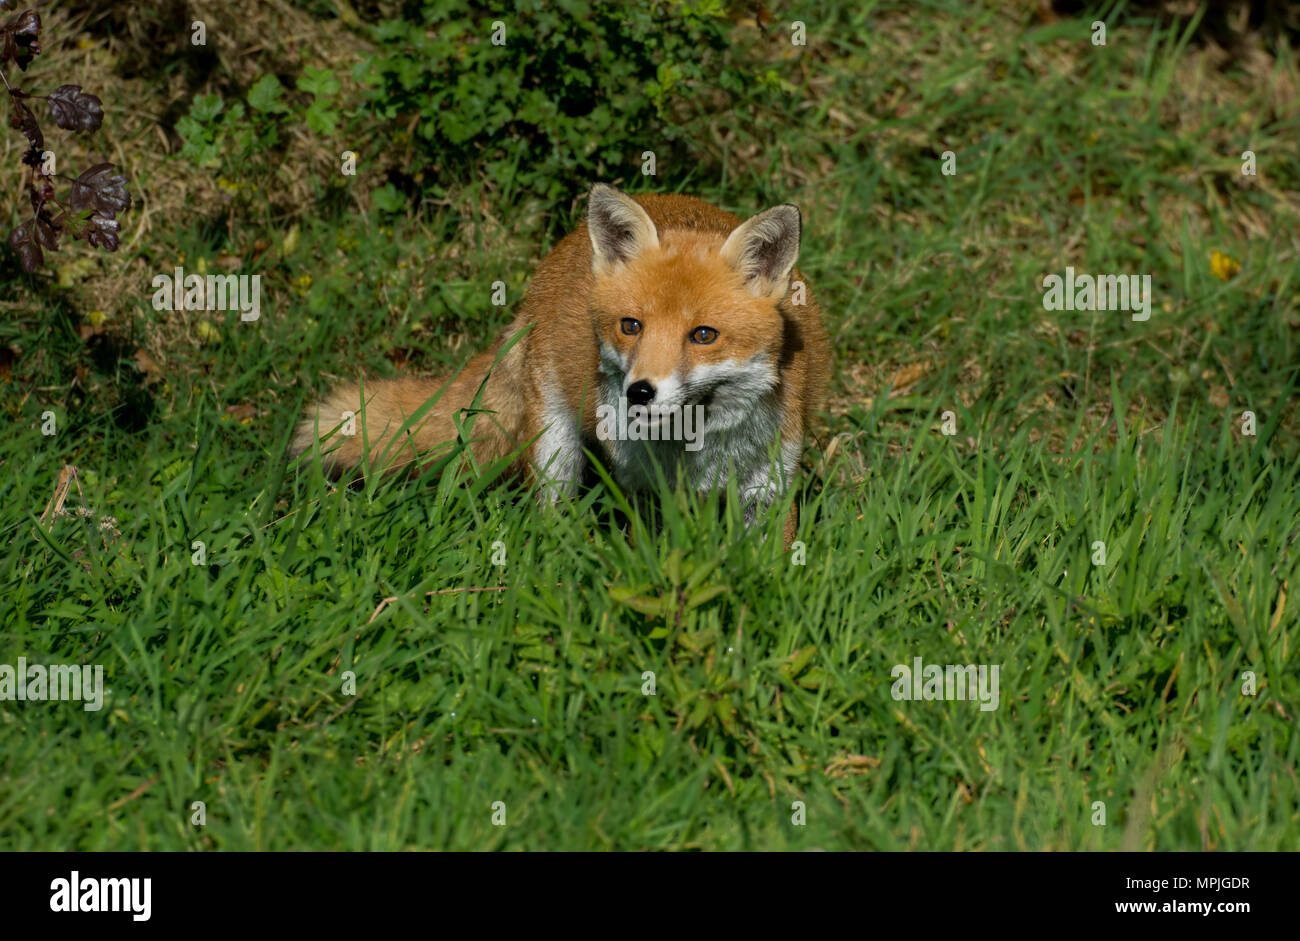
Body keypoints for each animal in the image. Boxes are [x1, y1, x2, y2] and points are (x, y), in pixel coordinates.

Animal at [290, 183, 830, 546]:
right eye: (631, 326)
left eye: (703, 335)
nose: (639, 392)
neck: (696, 449)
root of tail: (558, 255)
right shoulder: (644, 492)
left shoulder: (770, 487)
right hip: (556, 450)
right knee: (552, 515)